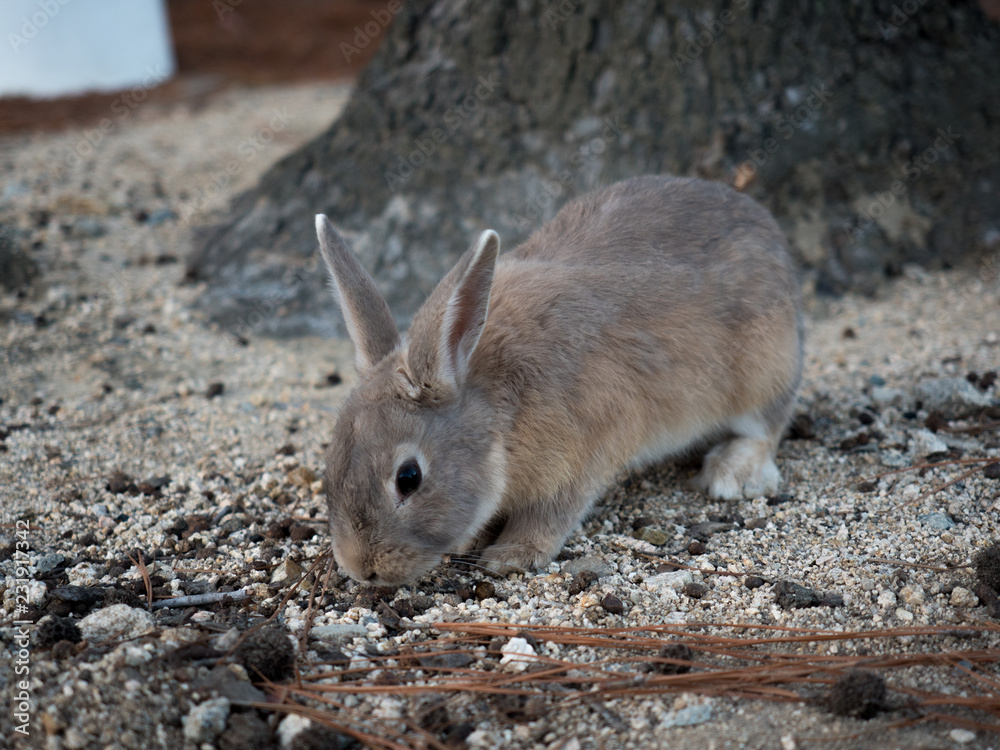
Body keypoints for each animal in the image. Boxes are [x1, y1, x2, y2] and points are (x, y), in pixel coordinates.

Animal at [315, 175, 802, 586]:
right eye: (332, 457)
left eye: (409, 477)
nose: (360, 568)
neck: (498, 415)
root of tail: (772, 235)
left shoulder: (585, 453)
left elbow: (550, 515)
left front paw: (510, 555)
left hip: (763, 373)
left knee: (767, 429)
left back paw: (731, 472)